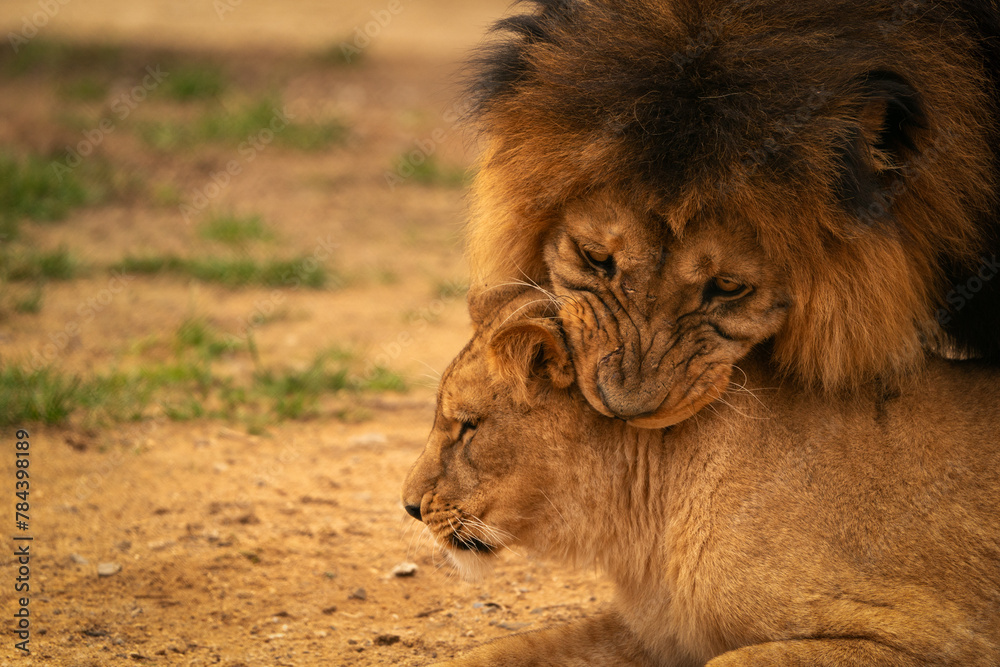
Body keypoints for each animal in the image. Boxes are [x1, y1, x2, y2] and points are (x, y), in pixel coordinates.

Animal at [401, 289, 1000, 666]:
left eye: (468, 426)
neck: (646, 522)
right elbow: (497, 651)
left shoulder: (939, 638)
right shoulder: (662, 633)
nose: (408, 506)